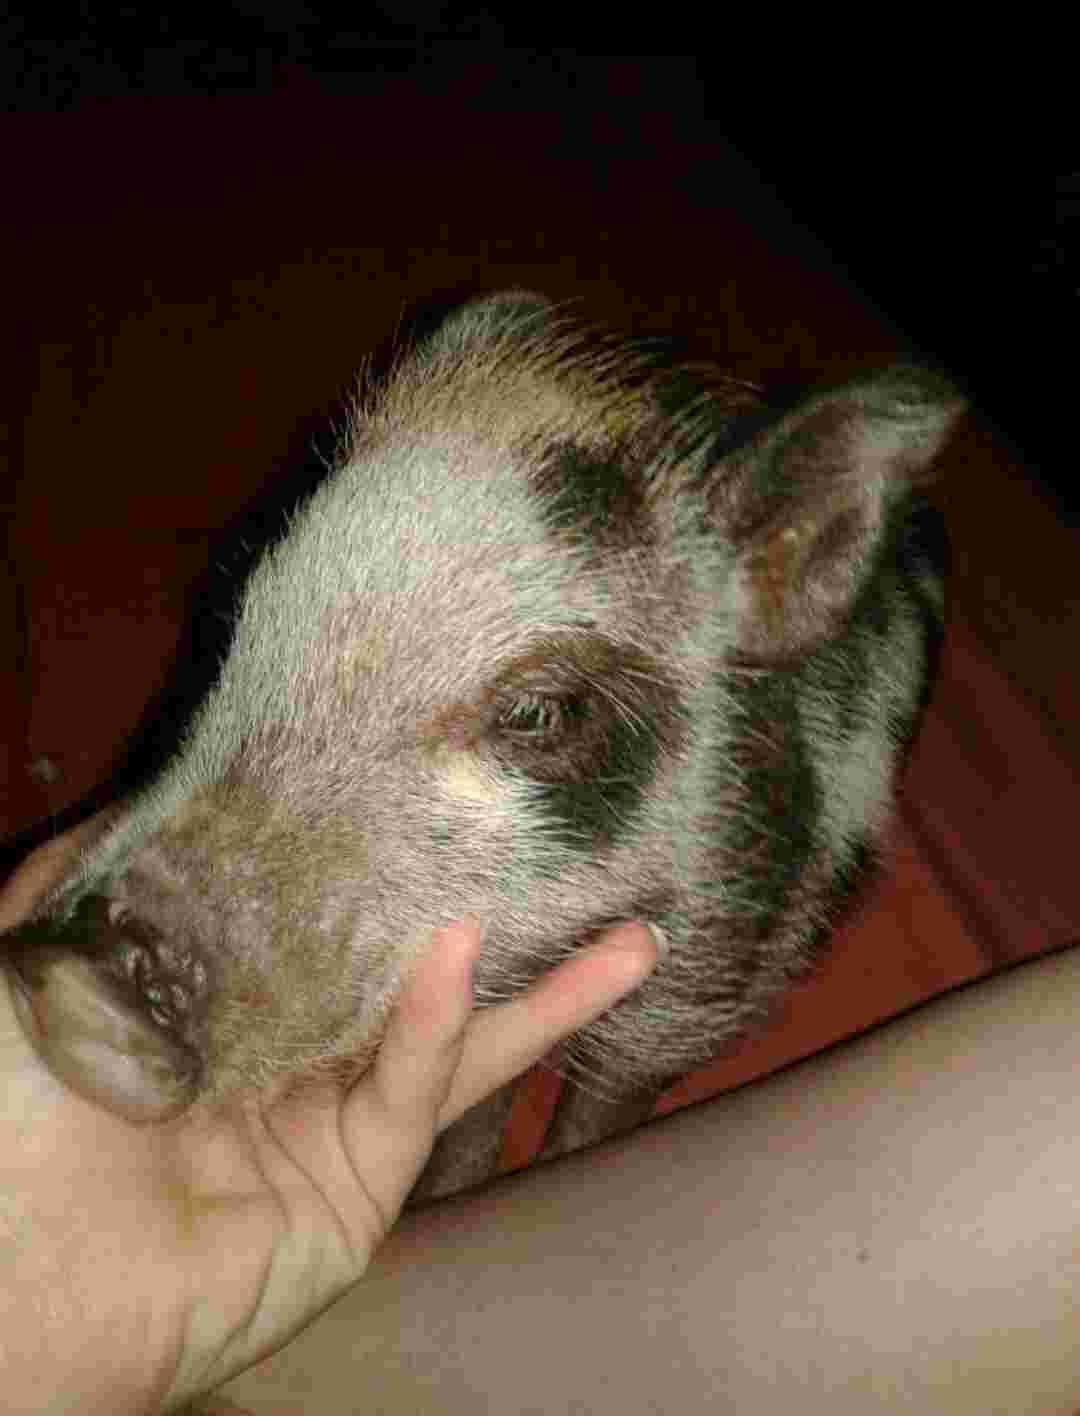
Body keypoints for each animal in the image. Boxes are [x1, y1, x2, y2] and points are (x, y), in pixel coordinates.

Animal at [2, 292, 963, 1198]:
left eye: (538, 713)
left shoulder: (710, 972)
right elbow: (465, 1124)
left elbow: (602, 1116)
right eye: (250, 617)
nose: (77, 969)